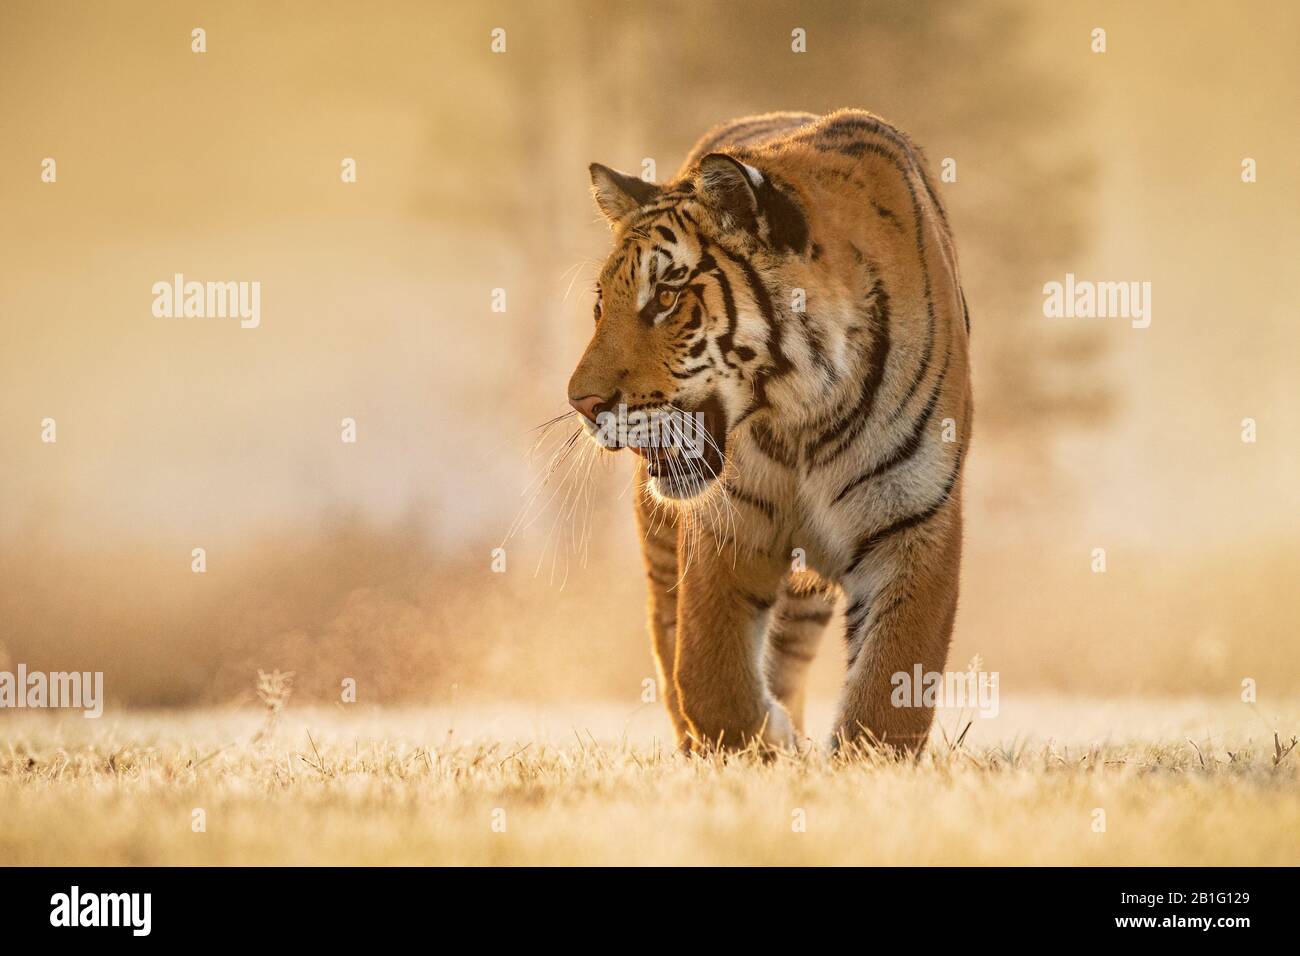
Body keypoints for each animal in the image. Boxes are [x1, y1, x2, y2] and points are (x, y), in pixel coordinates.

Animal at [566, 109, 971, 755]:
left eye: (667, 296)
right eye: (603, 306)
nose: (580, 402)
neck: (803, 411)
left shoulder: (912, 523)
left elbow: (889, 693)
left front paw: (852, 762)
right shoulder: (725, 527)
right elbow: (707, 679)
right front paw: (768, 744)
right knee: (669, 642)